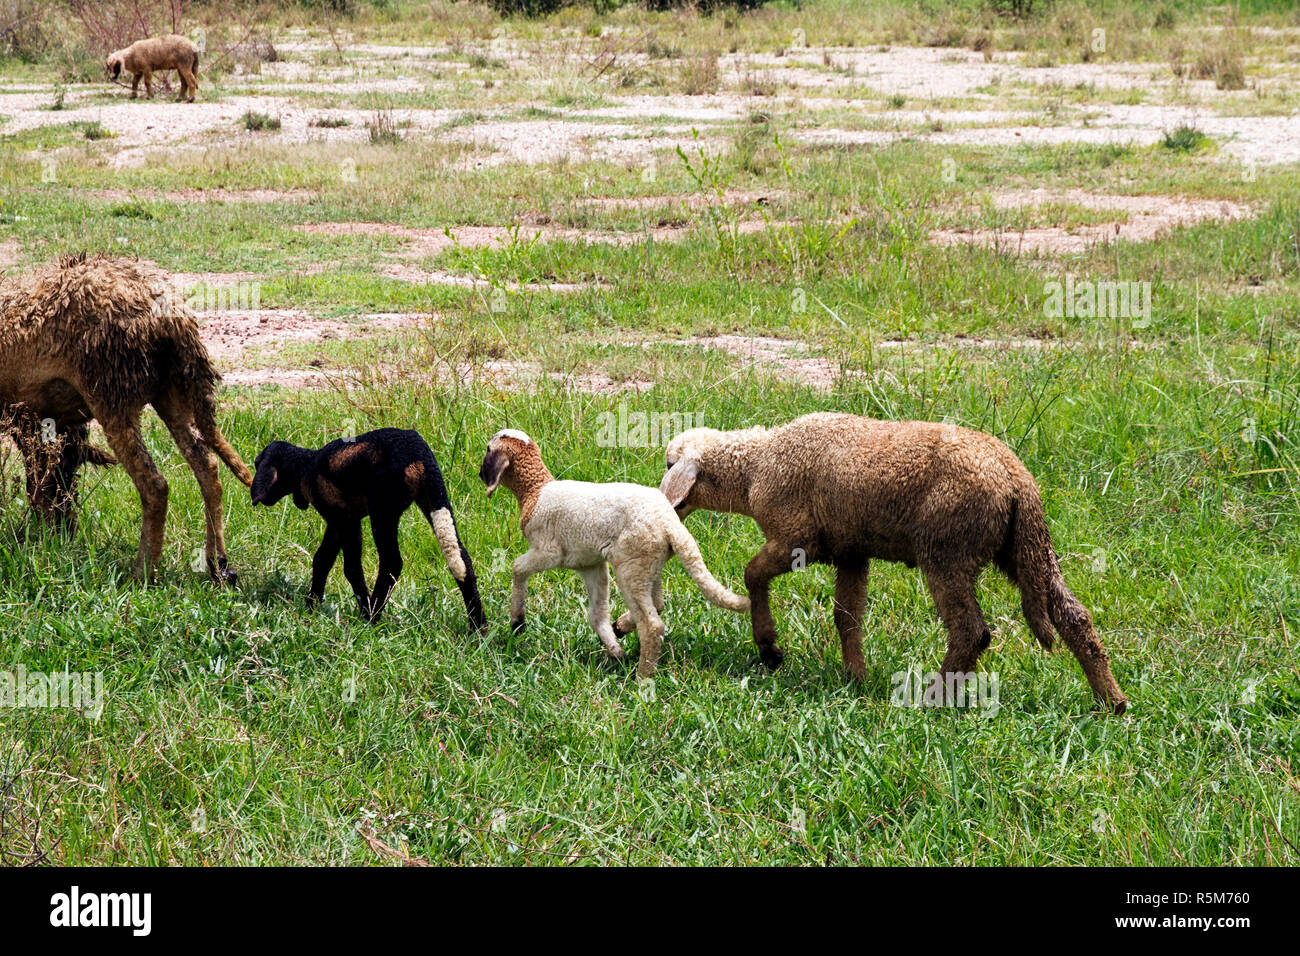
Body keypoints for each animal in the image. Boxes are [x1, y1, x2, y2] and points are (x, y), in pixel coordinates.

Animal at [0, 252, 253, 583]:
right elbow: (49, 481)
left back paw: (142, 575)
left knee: (155, 484)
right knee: (207, 466)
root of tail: (174, 317)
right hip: (171, 390)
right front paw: (50, 536)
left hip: (111, 392)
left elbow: (44, 482)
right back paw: (218, 566)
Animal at [250, 428, 486, 631]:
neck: (305, 466)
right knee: (460, 559)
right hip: (432, 497)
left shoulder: (345, 517)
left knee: (392, 562)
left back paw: (372, 618)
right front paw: (311, 606)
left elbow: (351, 567)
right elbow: (322, 560)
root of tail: (418, 456)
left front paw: (361, 610)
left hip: (383, 507)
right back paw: (478, 630)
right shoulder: (336, 520)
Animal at [478, 429, 749, 678]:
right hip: (651, 563)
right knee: (658, 604)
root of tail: (670, 524)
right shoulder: (591, 564)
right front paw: (614, 650)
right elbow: (597, 613)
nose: (481, 475)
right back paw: (622, 631)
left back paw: (642, 679)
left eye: (488, 449)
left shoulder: (549, 551)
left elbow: (517, 567)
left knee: (652, 624)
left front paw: (517, 622)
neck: (534, 492)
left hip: (631, 564)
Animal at [660, 413, 1128, 713]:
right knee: (1074, 616)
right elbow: (846, 615)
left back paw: (933, 699)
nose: (663, 505)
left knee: (972, 631)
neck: (755, 466)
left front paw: (769, 647)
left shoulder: (798, 540)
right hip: (1026, 549)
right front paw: (855, 678)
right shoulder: (850, 552)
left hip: (947, 550)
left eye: (668, 464)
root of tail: (1019, 483)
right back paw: (1111, 702)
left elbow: (752, 573)